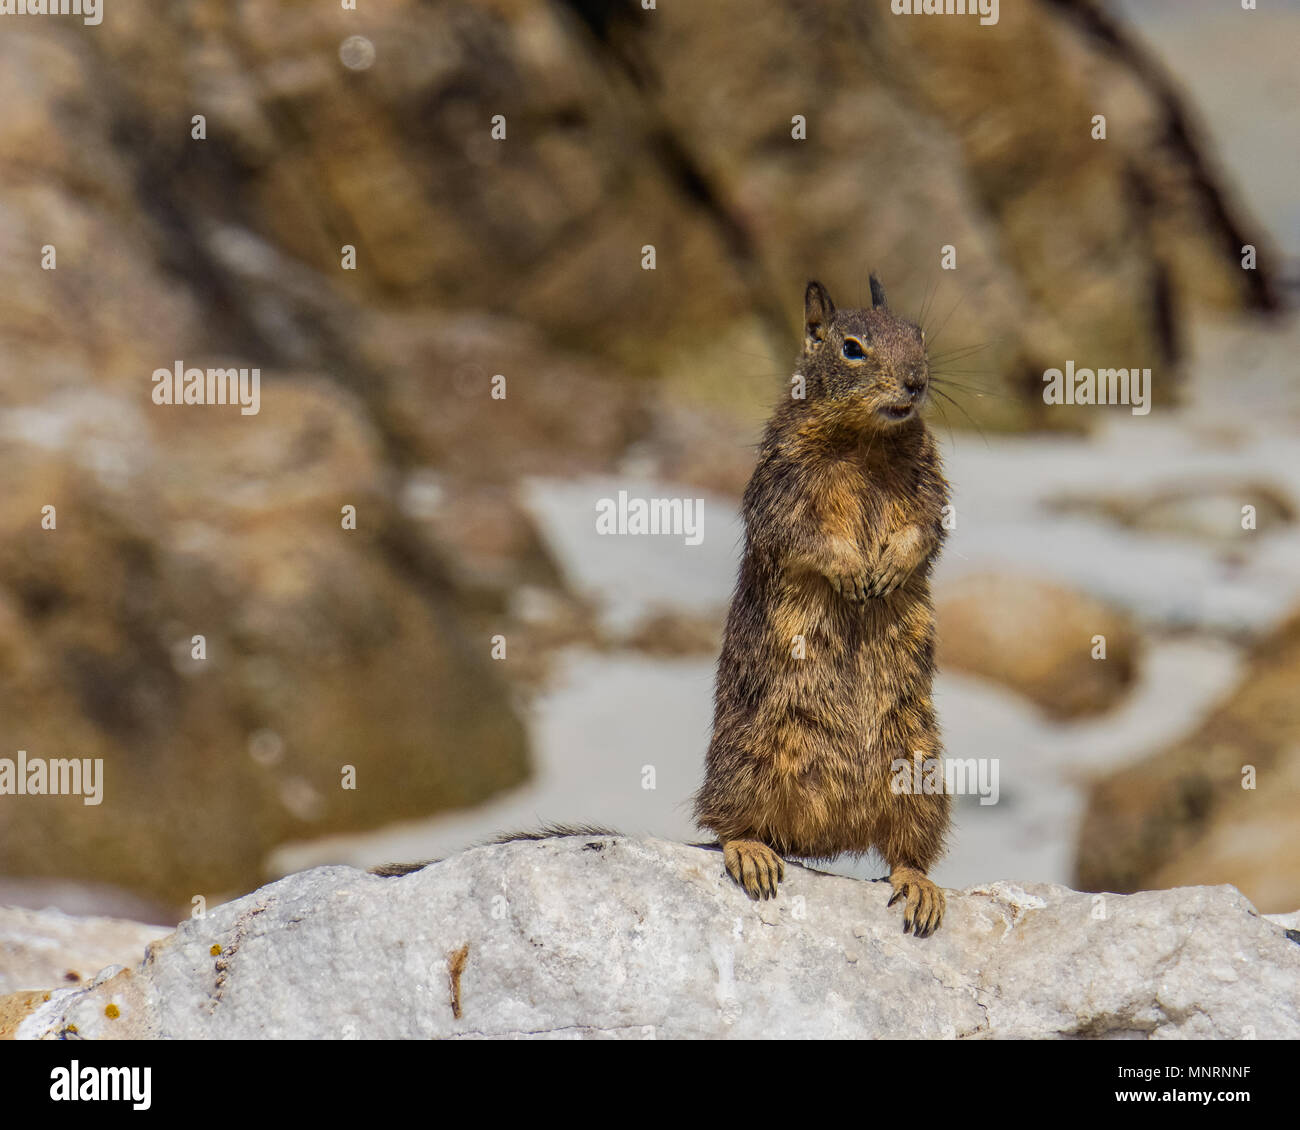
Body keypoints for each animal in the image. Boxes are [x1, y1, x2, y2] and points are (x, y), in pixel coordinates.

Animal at [693, 276, 951, 937]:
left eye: (918, 333)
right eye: (851, 348)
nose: (915, 381)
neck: (866, 442)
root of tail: (823, 839)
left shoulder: (930, 483)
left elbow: (926, 529)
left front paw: (889, 567)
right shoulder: (783, 480)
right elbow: (801, 535)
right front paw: (853, 570)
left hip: (920, 766)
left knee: (907, 849)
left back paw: (919, 886)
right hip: (748, 751)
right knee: (726, 823)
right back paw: (751, 852)